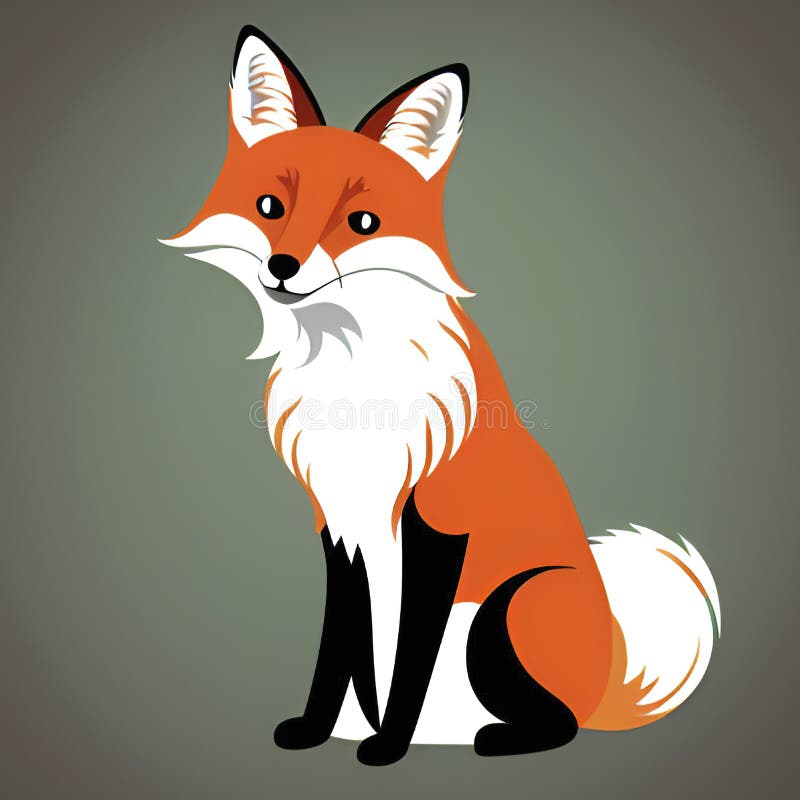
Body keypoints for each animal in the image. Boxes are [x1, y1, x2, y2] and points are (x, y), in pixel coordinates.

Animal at [160, 26, 721, 766]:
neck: (354, 378)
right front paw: (317, 729)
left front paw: (388, 744)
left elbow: (409, 659)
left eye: (362, 222)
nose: (282, 267)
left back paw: (493, 738)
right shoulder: (336, 520)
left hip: (503, 612)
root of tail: (608, 681)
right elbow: (340, 644)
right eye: (271, 208)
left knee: (561, 722)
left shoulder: (437, 522)